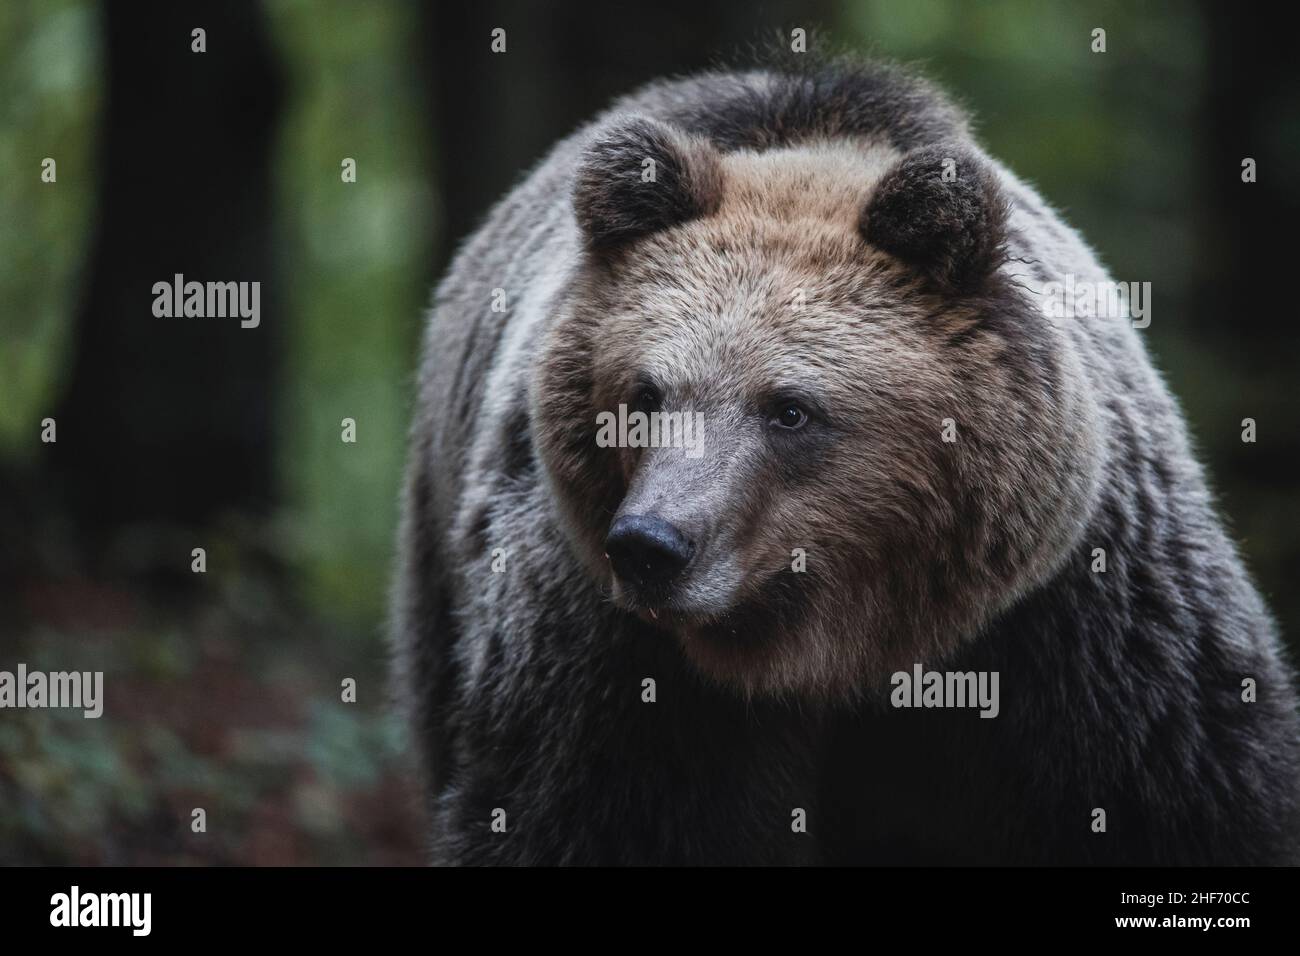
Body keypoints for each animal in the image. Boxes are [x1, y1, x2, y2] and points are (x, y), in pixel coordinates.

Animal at [391, 58, 1300, 865]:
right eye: (644, 395)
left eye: (789, 408)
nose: (651, 545)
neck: (837, 647)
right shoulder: (611, 659)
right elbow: (592, 814)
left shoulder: (1077, 625)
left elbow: (1175, 783)